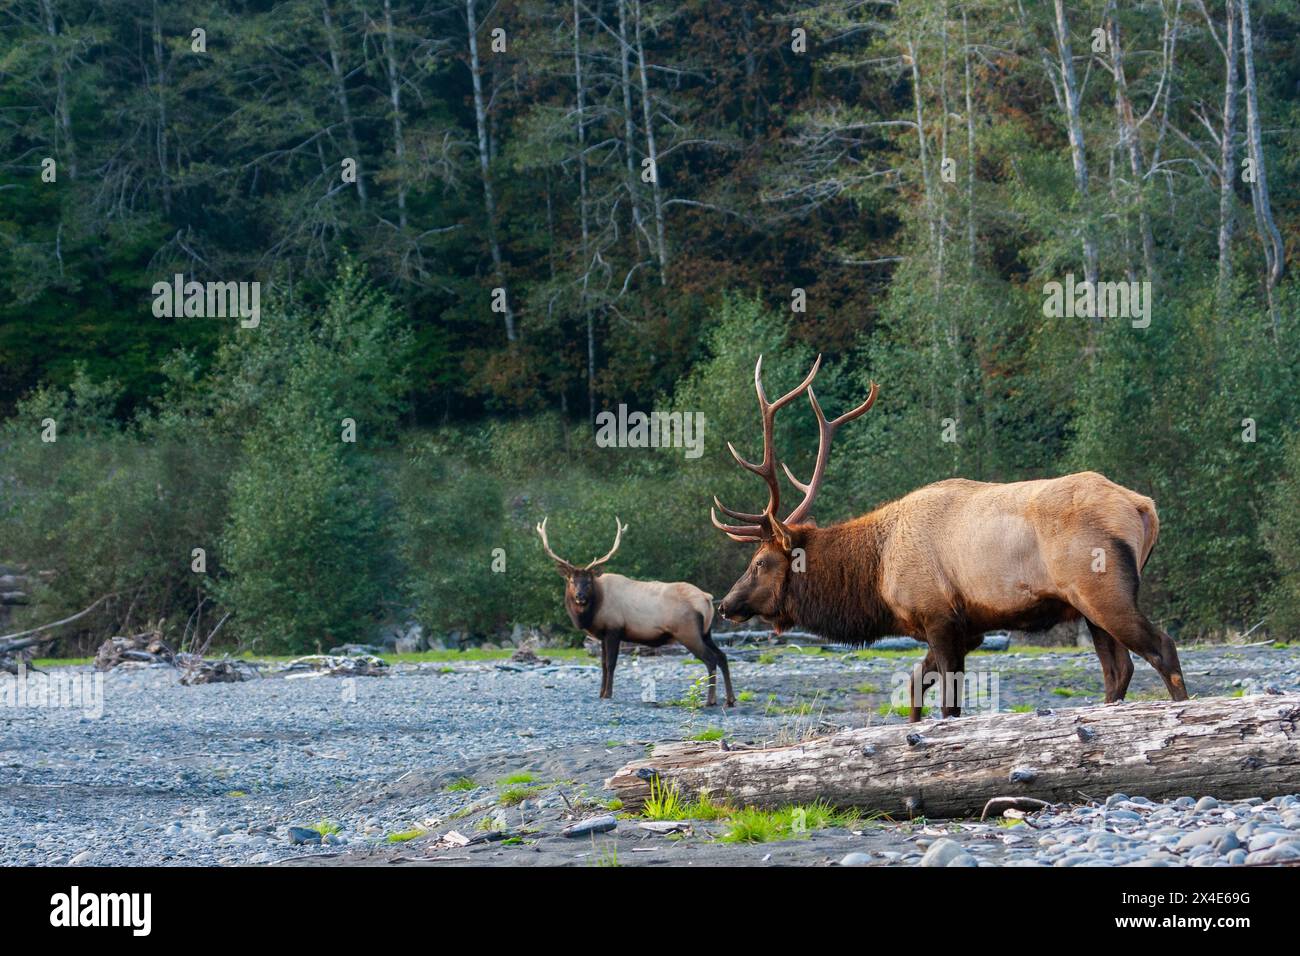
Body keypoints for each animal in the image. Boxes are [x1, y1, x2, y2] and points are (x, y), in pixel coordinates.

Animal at [537, 517, 735, 707]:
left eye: (589, 581)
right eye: (571, 581)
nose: (580, 596)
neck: (594, 611)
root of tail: (707, 599)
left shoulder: (614, 629)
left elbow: (611, 663)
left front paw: (608, 694)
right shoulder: (602, 635)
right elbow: (602, 664)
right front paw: (600, 693)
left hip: (688, 632)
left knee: (711, 659)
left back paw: (710, 700)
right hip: (706, 633)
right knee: (722, 656)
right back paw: (730, 699)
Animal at [710, 354, 1188, 721]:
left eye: (759, 562)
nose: (725, 604)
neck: (878, 575)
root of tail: (1144, 506)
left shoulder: (938, 615)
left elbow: (949, 705)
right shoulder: (967, 628)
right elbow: (914, 687)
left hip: (1103, 589)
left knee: (1161, 648)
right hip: (1087, 607)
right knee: (1118, 671)